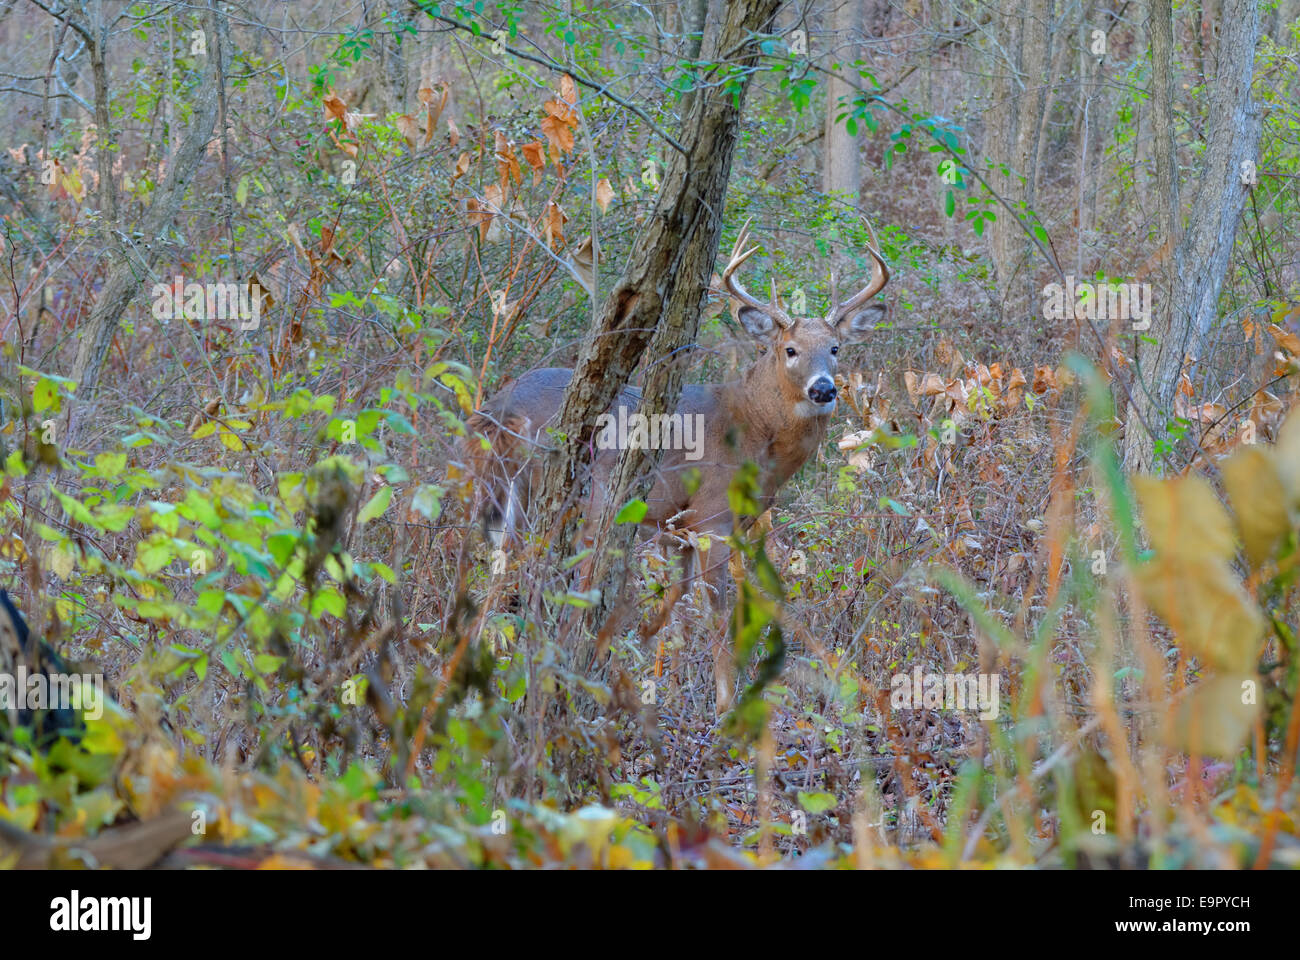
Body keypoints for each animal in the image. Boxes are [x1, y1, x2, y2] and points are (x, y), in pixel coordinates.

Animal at [464, 218, 890, 714]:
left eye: (836, 348)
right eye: (789, 349)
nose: (823, 389)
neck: (751, 429)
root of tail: (497, 409)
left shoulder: (680, 526)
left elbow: (673, 601)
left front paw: (643, 662)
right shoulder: (713, 516)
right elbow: (717, 612)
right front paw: (725, 703)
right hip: (547, 494)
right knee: (515, 576)